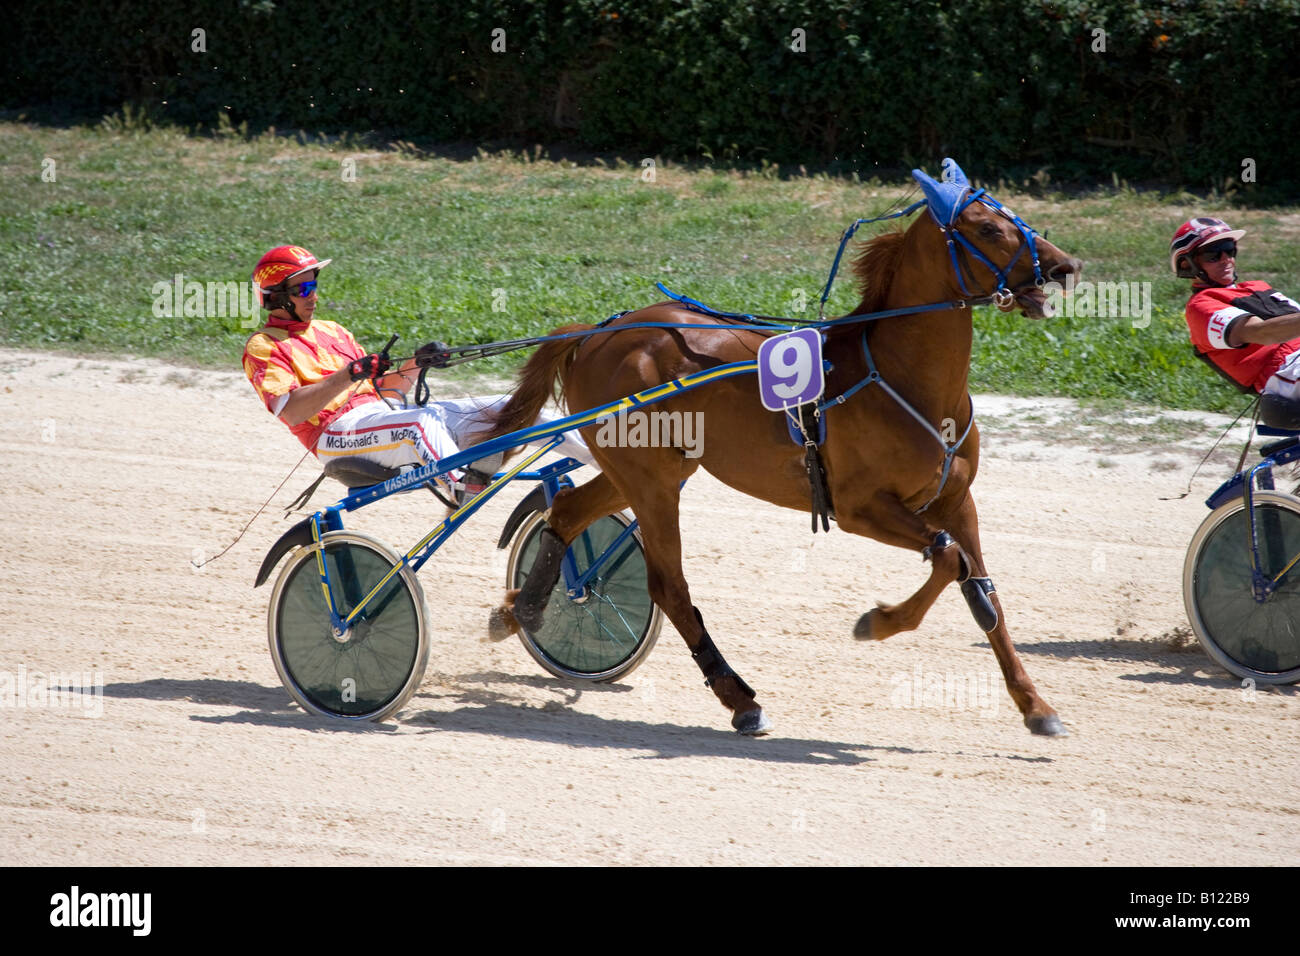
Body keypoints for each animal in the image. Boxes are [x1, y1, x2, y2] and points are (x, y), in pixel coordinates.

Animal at [480, 158, 1081, 737]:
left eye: (1014, 216)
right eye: (987, 228)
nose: (1065, 266)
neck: (903, 378)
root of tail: (594, 335)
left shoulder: (957, 501)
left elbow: (985, 593)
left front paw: (1036, 706)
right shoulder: (860, 508)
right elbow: (949, 559)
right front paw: (879, 622)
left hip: (651, 471)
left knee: (566, 509)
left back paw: (521, 612)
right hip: (650, 480)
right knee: (668, 585)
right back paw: (740, 699)